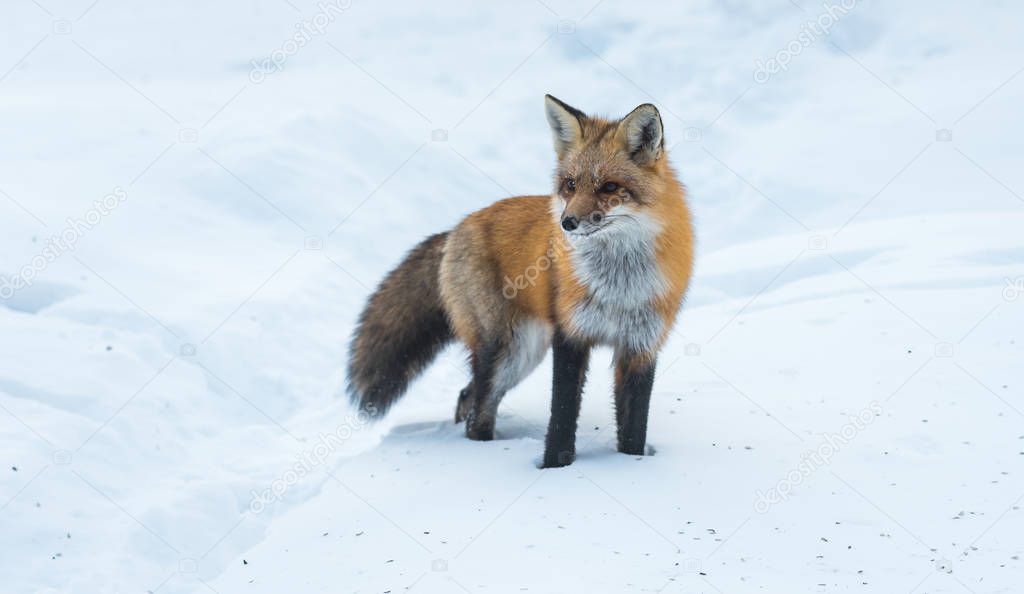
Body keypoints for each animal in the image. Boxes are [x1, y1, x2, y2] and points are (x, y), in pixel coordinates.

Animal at [347, 95, 694, 467]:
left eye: (610, 187)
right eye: (570, 185)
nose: (567, 222)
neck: (619, 288)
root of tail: (456, 228)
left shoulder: (641, 346)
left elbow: (633, 429)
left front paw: (633, 467)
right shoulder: (570, 337)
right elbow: (562, 415)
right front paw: (556, 468)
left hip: (523, 354)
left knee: (467, 395)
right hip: (509, 350)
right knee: (477, 408)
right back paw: (482, 451)